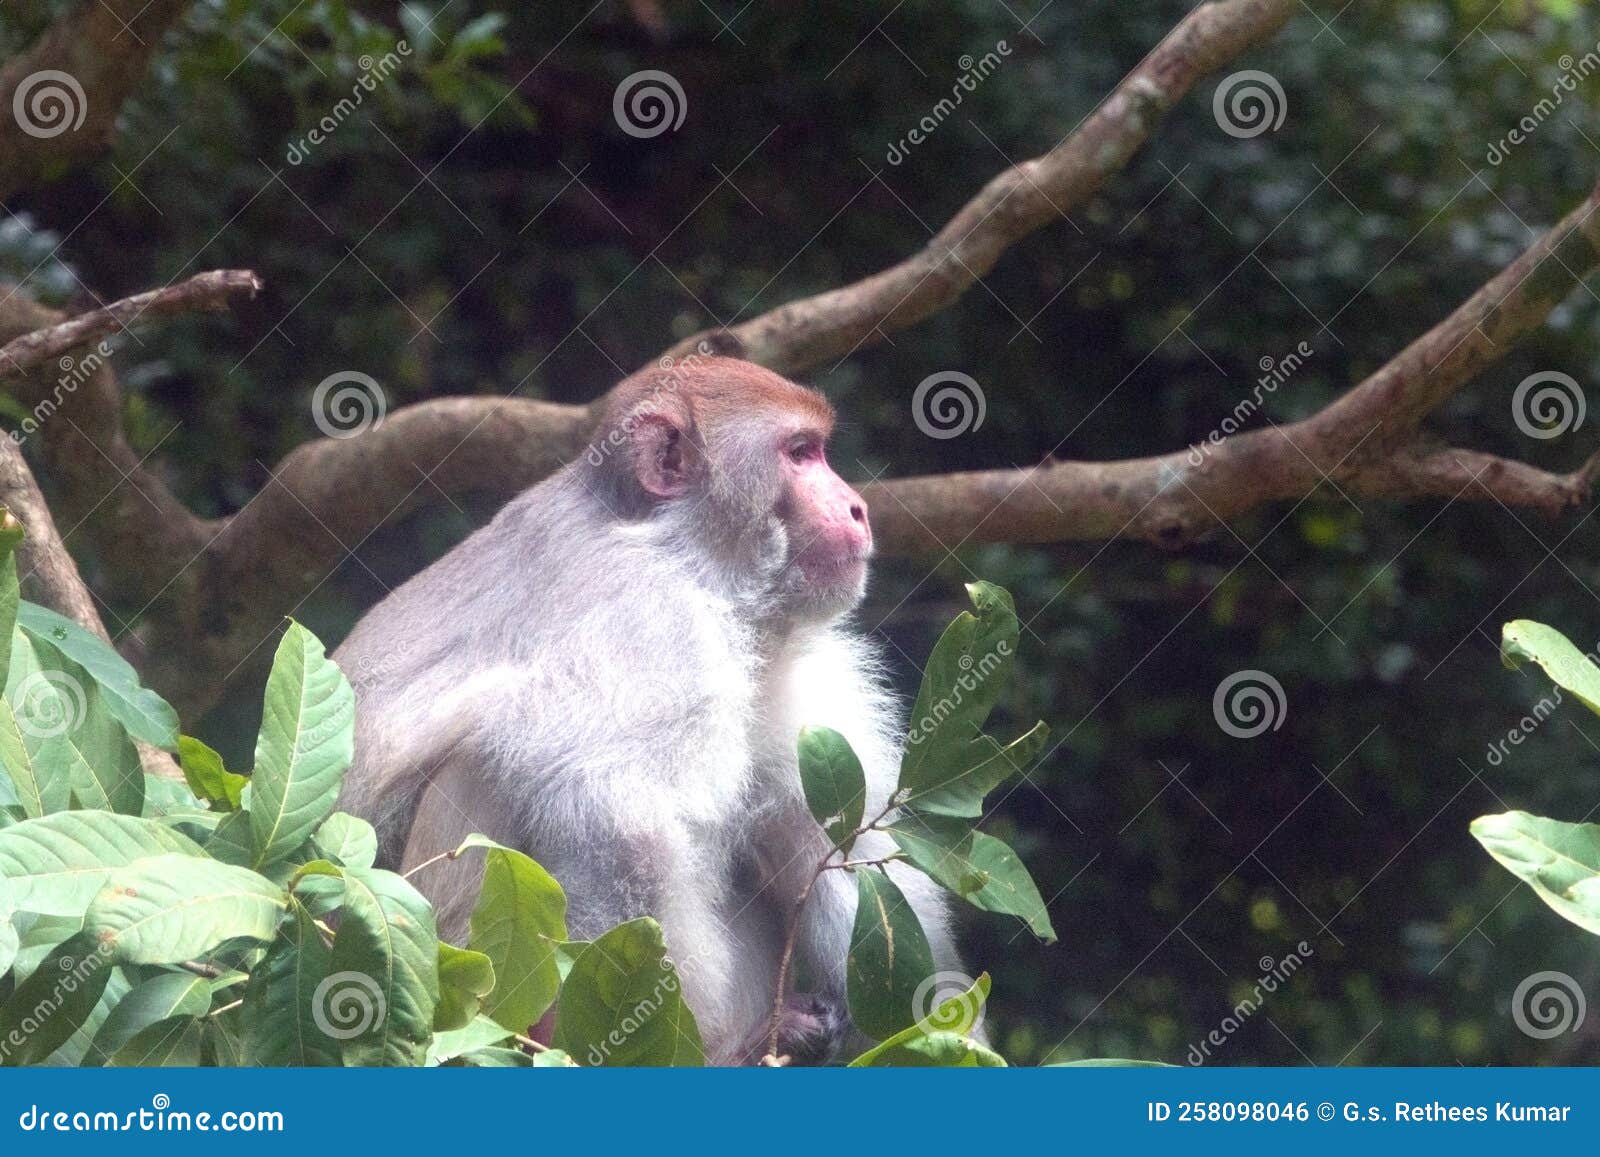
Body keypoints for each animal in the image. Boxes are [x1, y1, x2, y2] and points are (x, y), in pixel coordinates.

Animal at [333, 356, 966, 1065]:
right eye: (800, 453)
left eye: (818, 451)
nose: (857, 507)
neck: (687, 555)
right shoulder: (651, 617)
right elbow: (612, 818)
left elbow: (834, 834)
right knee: (492, 762)